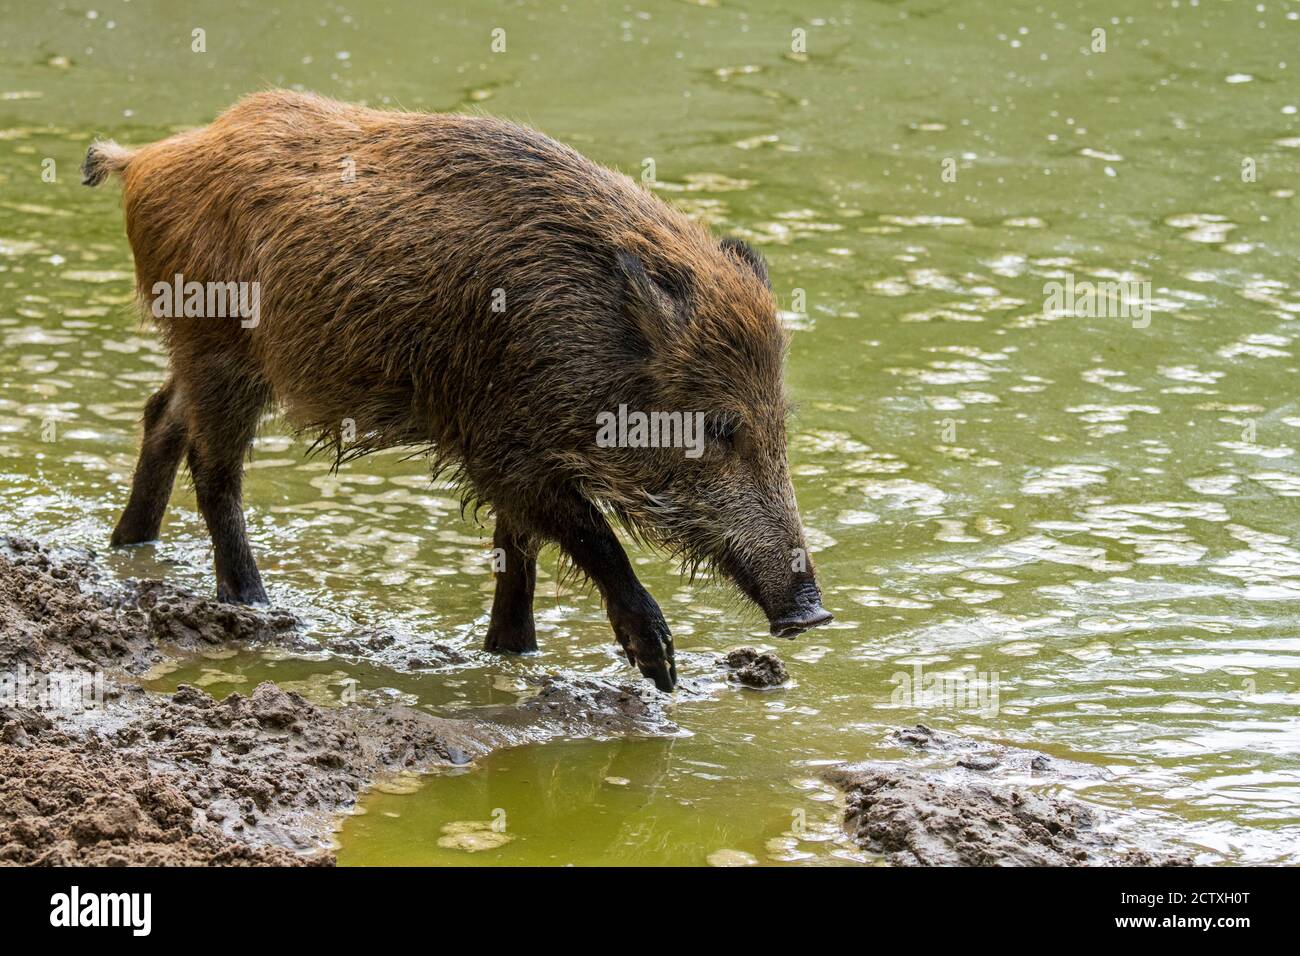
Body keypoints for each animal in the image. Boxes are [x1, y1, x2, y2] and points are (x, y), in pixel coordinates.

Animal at [83, 90, 831, 691]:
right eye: (721, 428)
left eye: (780, 426)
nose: (813, 612)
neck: (586, 341)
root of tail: (146, 158)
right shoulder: (502, 446)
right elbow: (588, 537)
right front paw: (660, 669)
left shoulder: (517, 447)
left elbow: (520, 553)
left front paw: (511, 653)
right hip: (219, 351)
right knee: (214, 470)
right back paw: (256, 604)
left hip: (205, 355)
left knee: (161, 416)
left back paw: (131, 546)